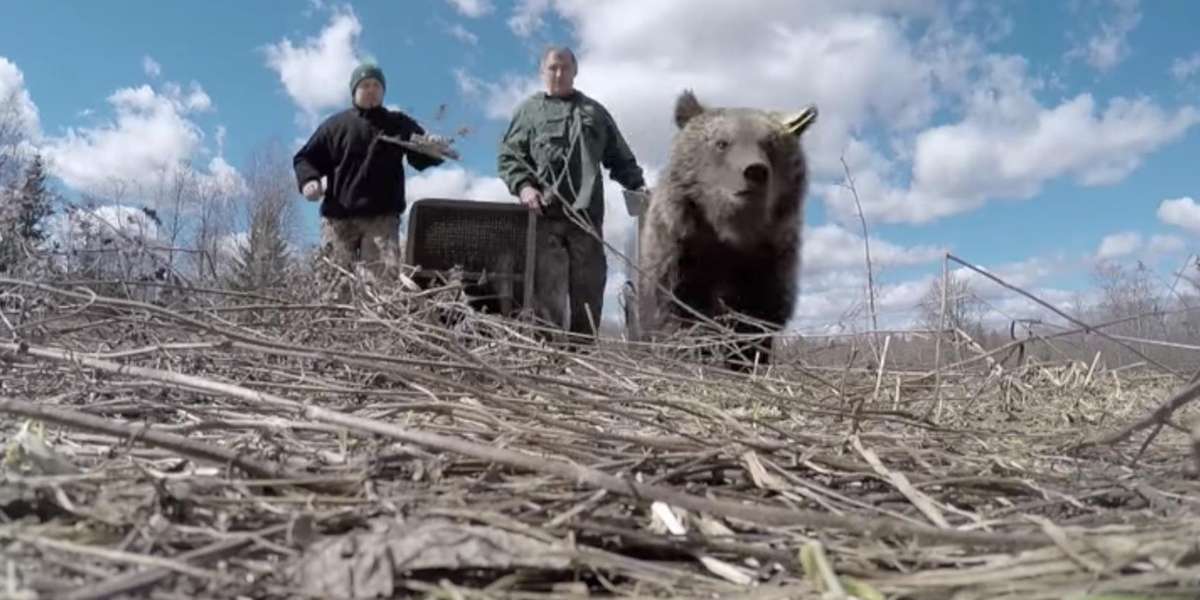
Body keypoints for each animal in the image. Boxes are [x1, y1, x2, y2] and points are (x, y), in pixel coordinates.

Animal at [636, 89, 816, 372]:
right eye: (722, 143)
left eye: (769, 144)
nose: (755, 170)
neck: (730, 234)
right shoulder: (677, 255)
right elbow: (678, 316)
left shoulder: (770, 264)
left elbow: (755, 324)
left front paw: (745, 363)